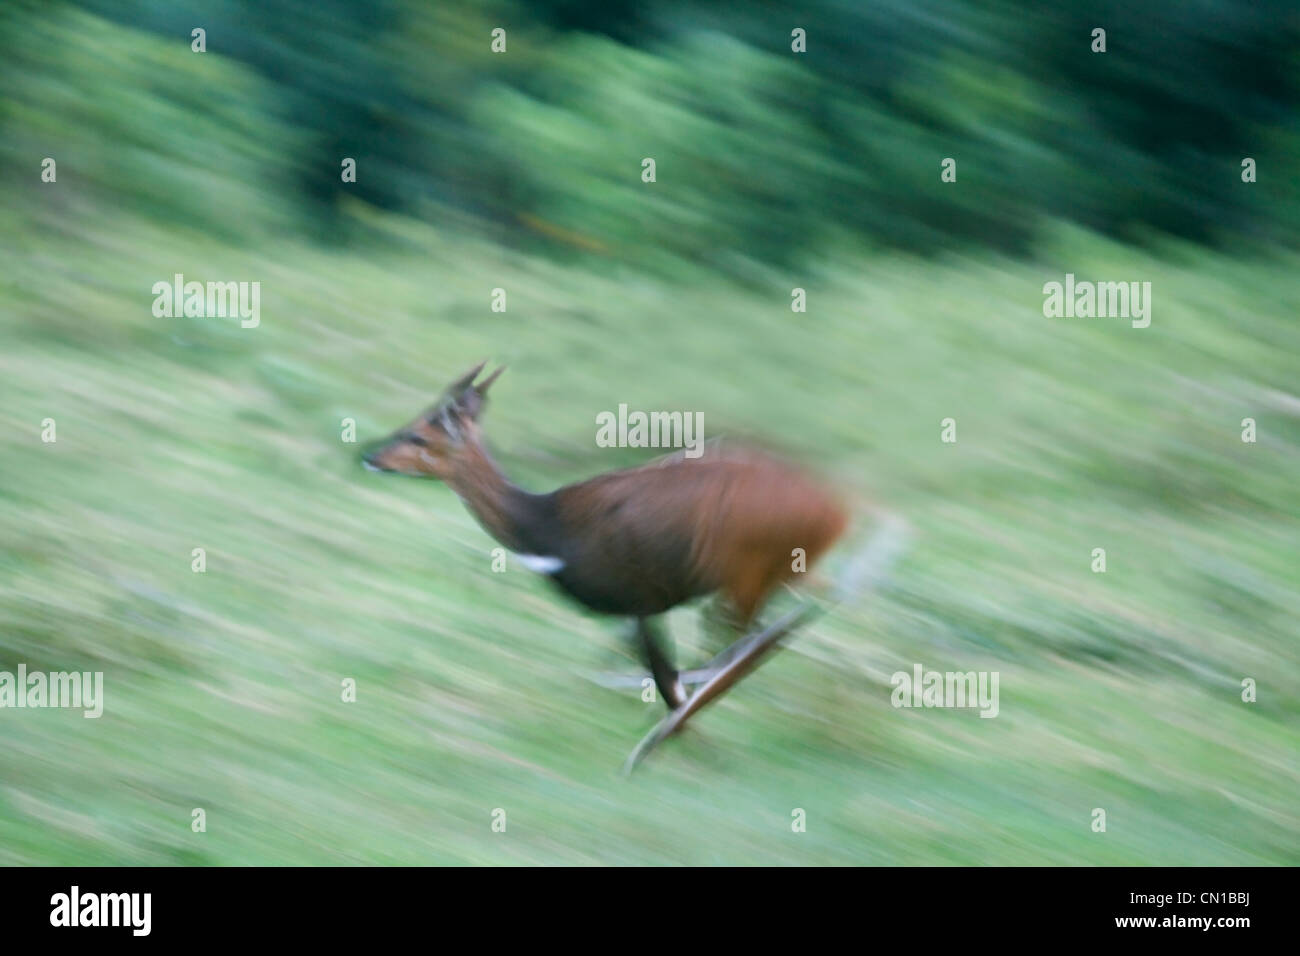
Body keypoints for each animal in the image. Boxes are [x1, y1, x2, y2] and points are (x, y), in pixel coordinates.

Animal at [363, 362, 851, 771]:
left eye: (418, 436)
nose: (370, 457)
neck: (546, 526)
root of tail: (838, 509)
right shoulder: (638, 610)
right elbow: (666, 676)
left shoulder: (640, 600)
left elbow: (667, 681)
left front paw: (678, 750)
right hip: (776, 576)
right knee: (791, 617)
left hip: (748, 578)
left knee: (757, 635)